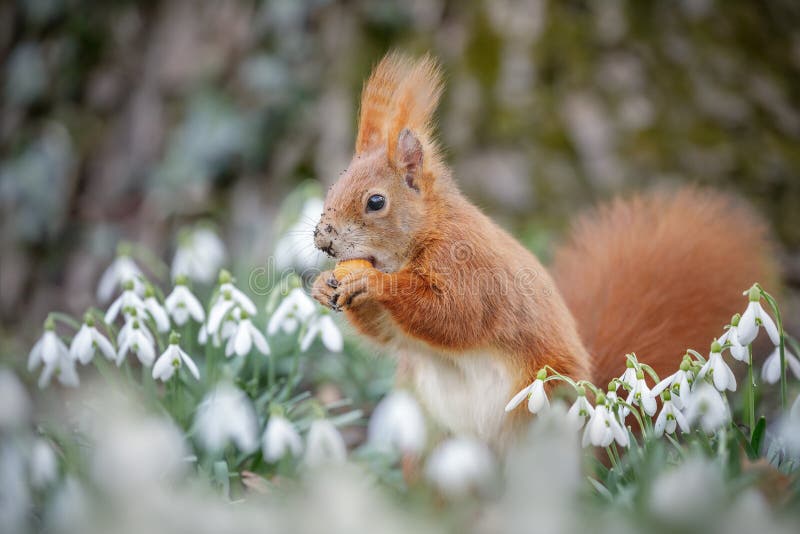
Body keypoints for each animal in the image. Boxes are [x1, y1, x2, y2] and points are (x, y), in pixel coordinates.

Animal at [310, 53, 776, 451]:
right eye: (335, 183)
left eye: (375, 202)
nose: (323, 238)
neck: (422, 237)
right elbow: (387, 332)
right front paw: (321, 284)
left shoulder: (470, 265)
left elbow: (453, 314)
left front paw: (372, 281)